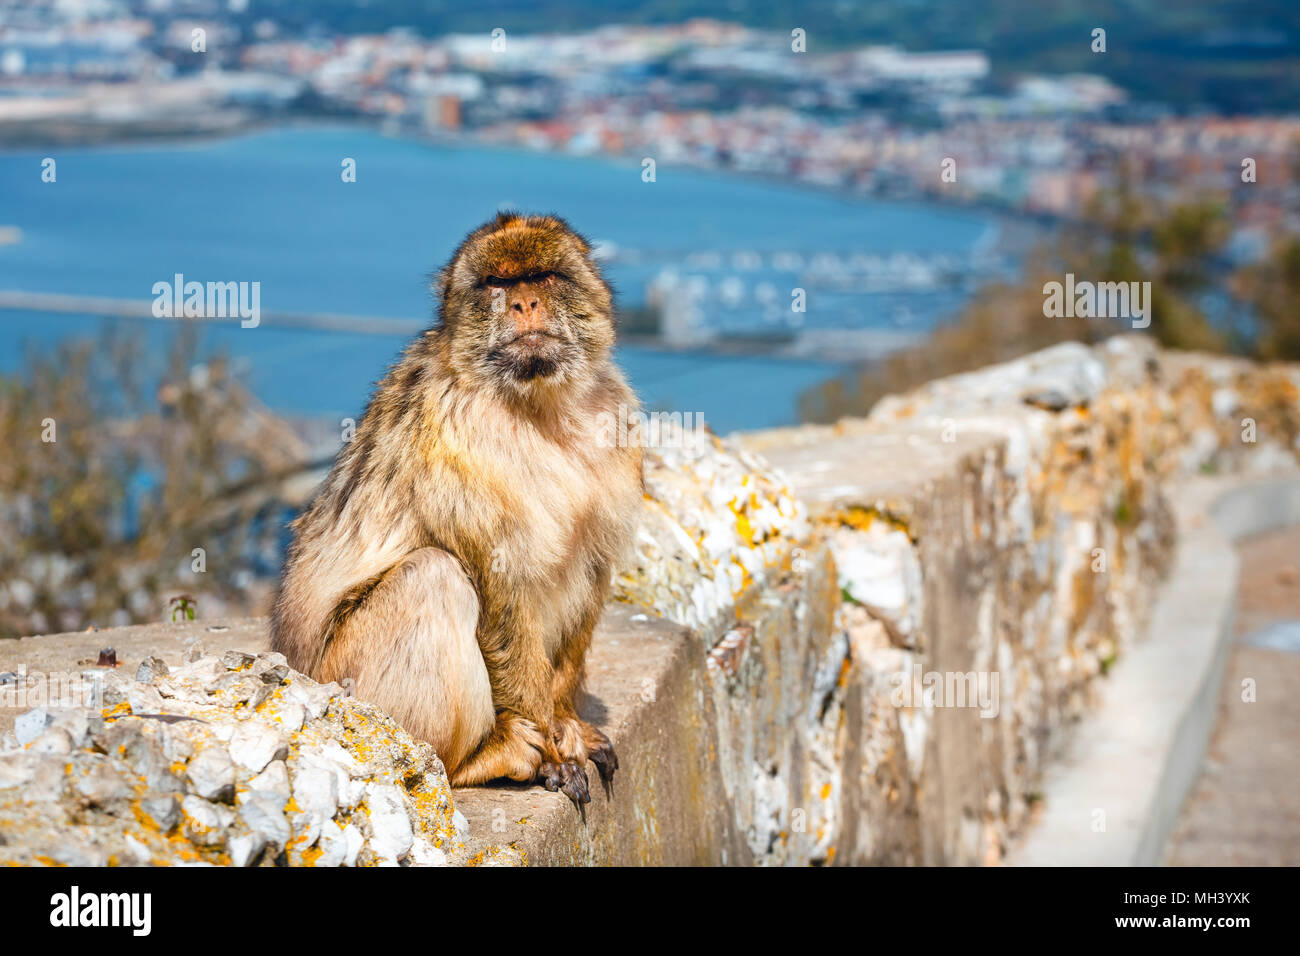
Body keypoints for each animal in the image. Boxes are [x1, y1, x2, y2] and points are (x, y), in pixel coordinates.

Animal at [270, 212, 643, 808]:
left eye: (543, 276)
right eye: (496, 284)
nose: (524, 304)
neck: (540, 404)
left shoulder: (617, 425)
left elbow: (587, 574)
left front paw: (566, 723)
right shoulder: (454, 446)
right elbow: (499, 594)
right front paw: (552, 744)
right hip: (353, 695)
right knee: (433, 577)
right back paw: (476, 758)